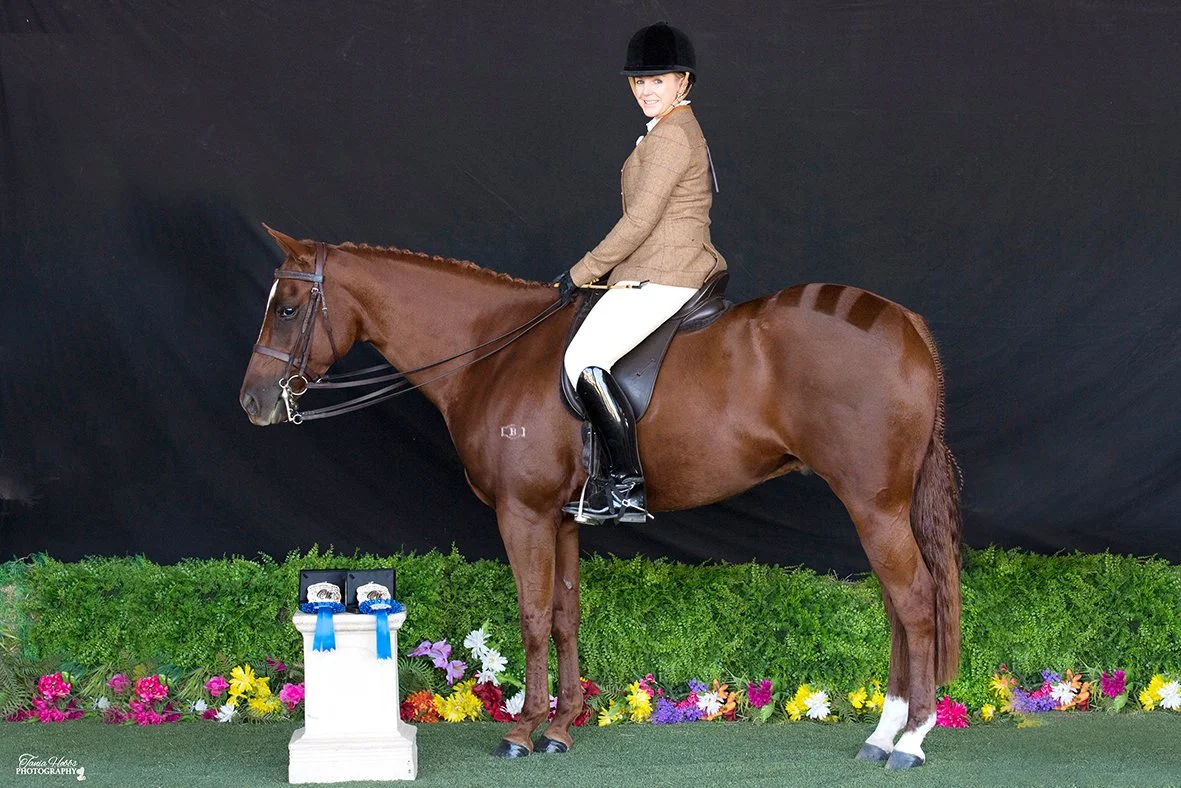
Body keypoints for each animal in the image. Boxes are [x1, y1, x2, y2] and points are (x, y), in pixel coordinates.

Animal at [239, 227, 962, 769]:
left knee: (913, 601)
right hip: (881, 507)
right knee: (898, 608)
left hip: (873, 505)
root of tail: (904, 322)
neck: (491, 353)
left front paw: (523, 731)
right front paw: (562, 727)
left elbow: (532, 616)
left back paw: (909, 741)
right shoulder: (561, 518)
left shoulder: (523, 514)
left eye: (288, 308)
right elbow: (565, 615)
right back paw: (884, 733)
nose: (252, 402)